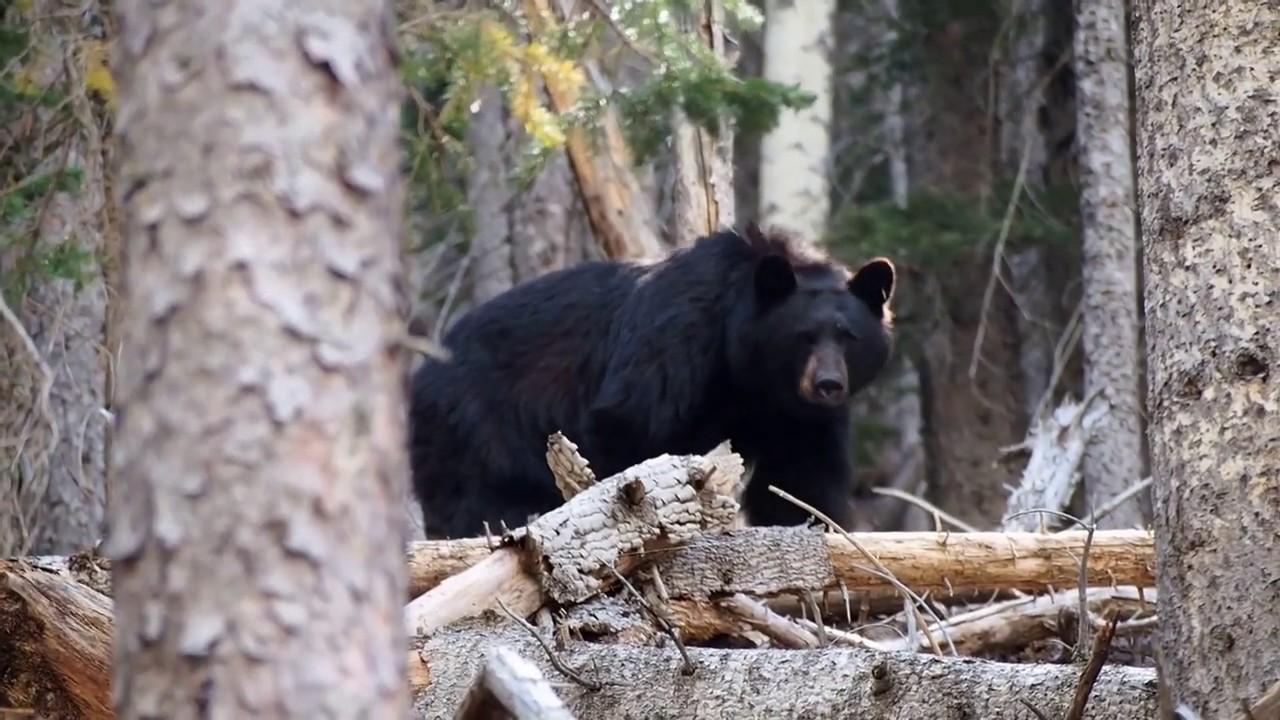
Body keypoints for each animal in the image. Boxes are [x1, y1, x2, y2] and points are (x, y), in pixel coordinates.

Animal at [407, 223, 896, 539]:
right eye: (803, 336)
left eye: (849, 337)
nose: (828, 384)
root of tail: (425, 367)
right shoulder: (677, 341)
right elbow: (628, 426)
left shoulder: (796, 420)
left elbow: (800, 481)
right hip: (474, 427)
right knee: (472, 503)